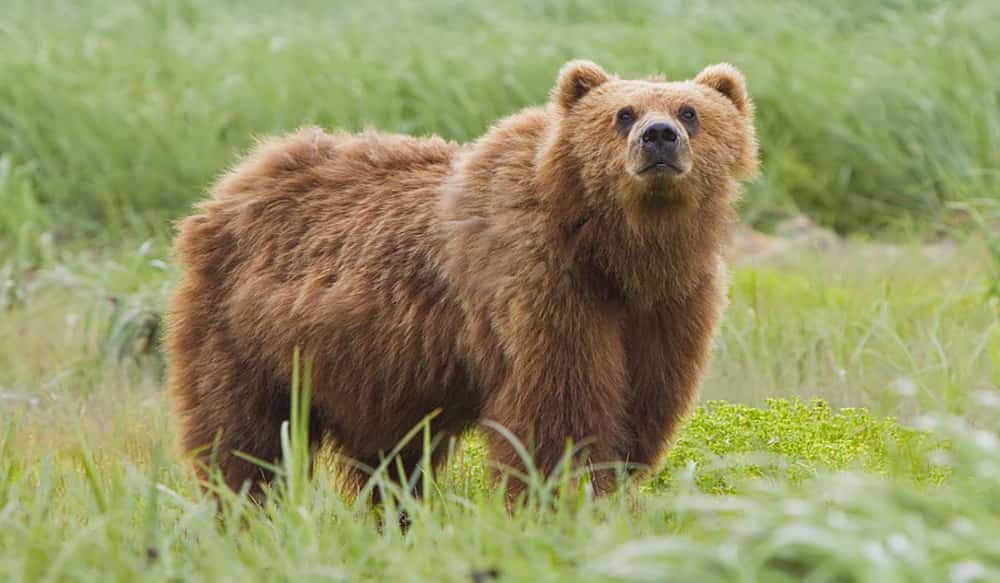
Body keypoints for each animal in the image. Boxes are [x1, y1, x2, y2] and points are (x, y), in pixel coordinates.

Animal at [164, 59, 758, 502]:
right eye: (622, 113)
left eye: (690, 111)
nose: (658, 137)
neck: (619, 253)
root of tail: (235, 179)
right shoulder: (542, 286)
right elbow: (558, 413)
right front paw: (558, 497)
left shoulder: (669, 307)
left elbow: (641, 407)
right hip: (245, 333)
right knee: (244, 440)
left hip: (375, 373)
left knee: (391, 463)